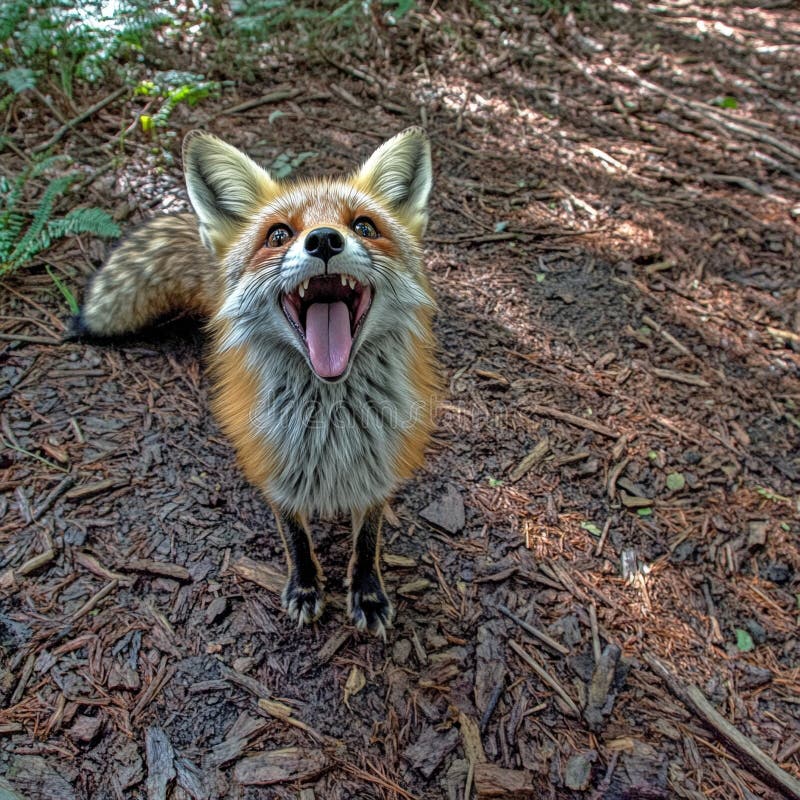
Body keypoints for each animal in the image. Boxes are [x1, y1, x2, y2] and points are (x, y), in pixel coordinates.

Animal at [73, 128, 440, 637]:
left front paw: (366, 592)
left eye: (365, 227)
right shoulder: (272, 464)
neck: (330, 423)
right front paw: (305, 586)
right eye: (279, 235)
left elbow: (367, 540)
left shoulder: (380, 467)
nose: (324, 240)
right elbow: (295, 537)